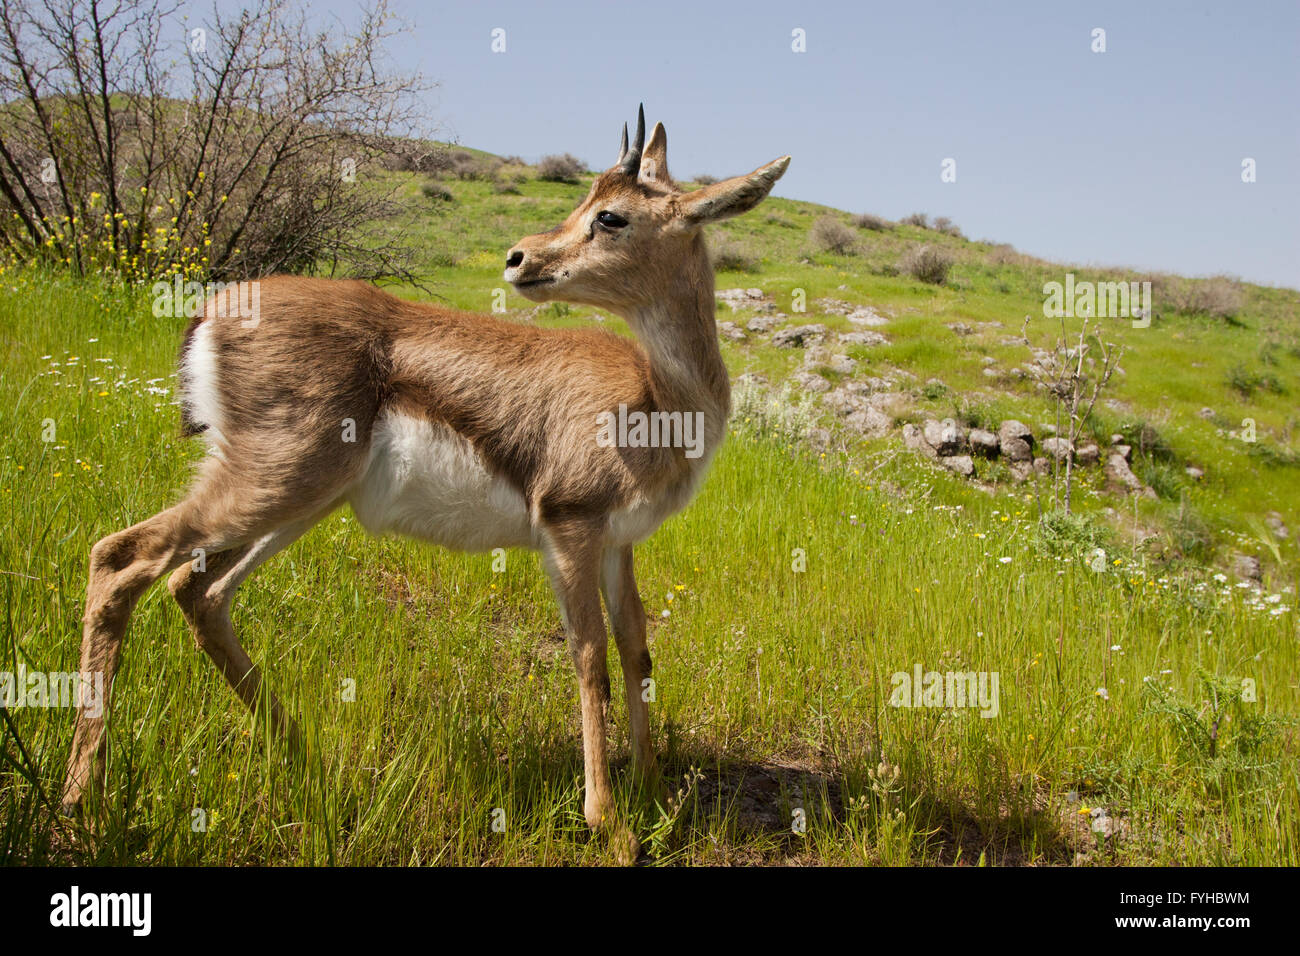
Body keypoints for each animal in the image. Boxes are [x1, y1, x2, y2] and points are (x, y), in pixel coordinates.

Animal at [61, 106, 790, 854]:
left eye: (610, 215)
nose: (520, 258)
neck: (655, 399)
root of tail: (214, 309)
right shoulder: (570, 531)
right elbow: (591, 661)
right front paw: (611, 827)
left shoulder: (619, 543)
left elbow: (637, 651)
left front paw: (653, 793)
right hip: (273, 486)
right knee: (120, 559)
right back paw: (80, 809)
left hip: (298, 502)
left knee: (198, 591)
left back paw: (315, 763)